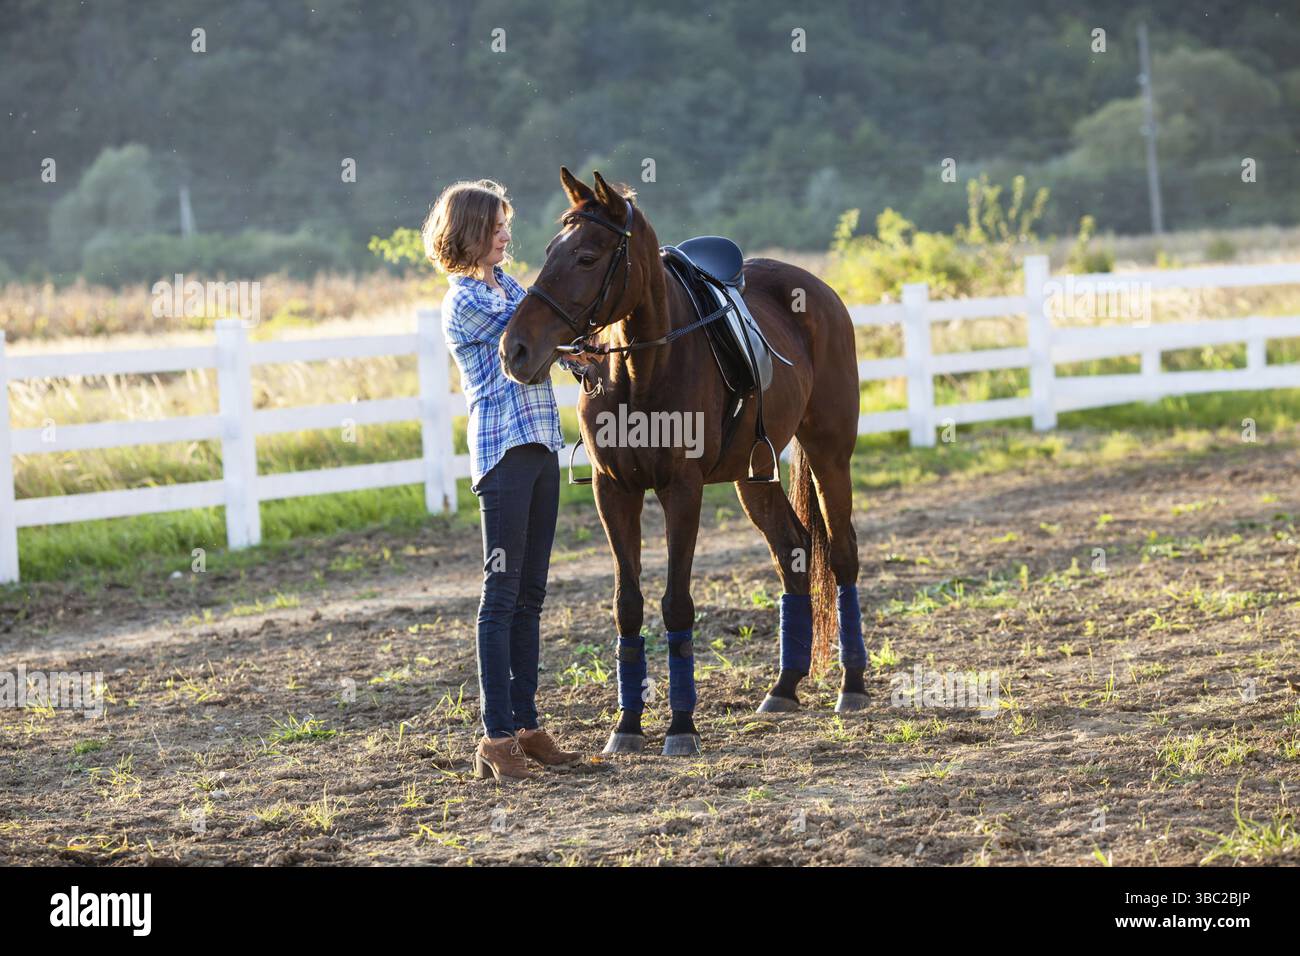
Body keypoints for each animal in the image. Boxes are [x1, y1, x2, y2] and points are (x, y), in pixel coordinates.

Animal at [500, 167, 865, 755]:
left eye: (586, 257)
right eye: (551, 249)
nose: (516, 349)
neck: (639, 369)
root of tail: (820, 291)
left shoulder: (681, 490)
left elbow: (676, 602)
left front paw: (680, 726)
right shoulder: (613, 490)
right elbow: (627, 604)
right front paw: (626, 726)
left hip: (830, 454)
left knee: (842, 555)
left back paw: (852, 686)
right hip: (753, 476)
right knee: (792, 552)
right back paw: (784, 687)